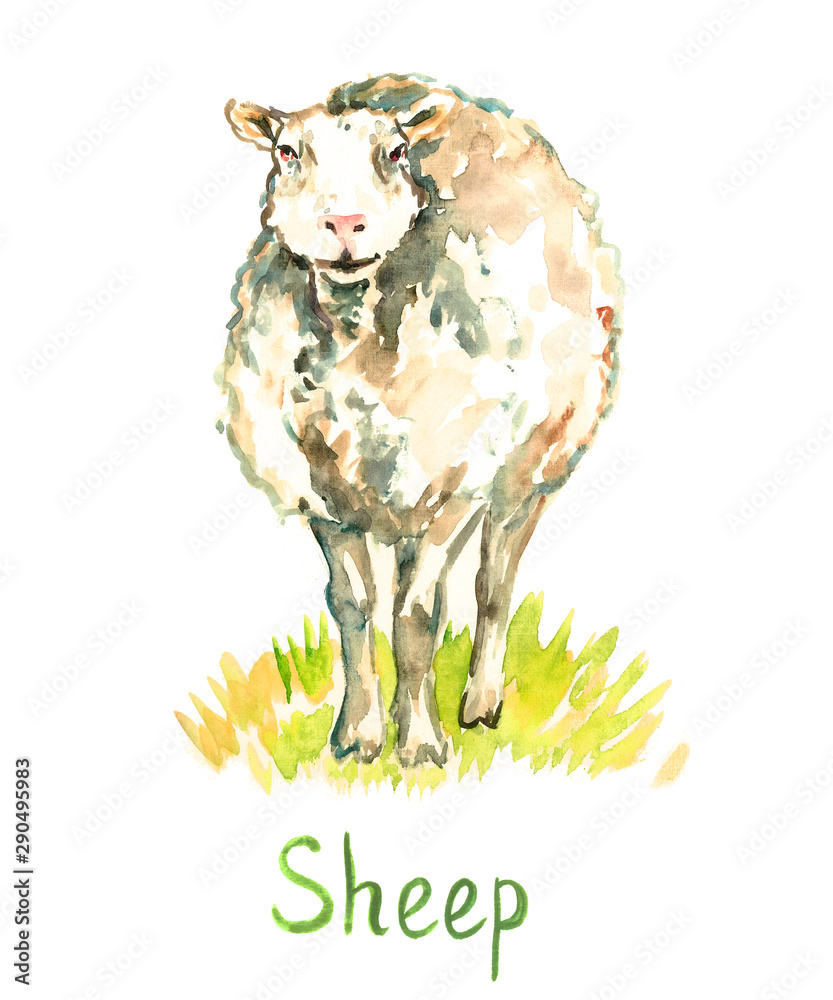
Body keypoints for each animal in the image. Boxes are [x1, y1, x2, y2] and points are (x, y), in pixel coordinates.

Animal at [217, 73, 622, 767]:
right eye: (287, 151)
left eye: (397, 152)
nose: (344, 223)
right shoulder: (326, 500)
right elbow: (352, 608)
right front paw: (357, 737)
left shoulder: (451, 489)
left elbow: (416, 618)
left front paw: (421, 746)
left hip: (533, 467)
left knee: (494, 585)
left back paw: (480, 703)